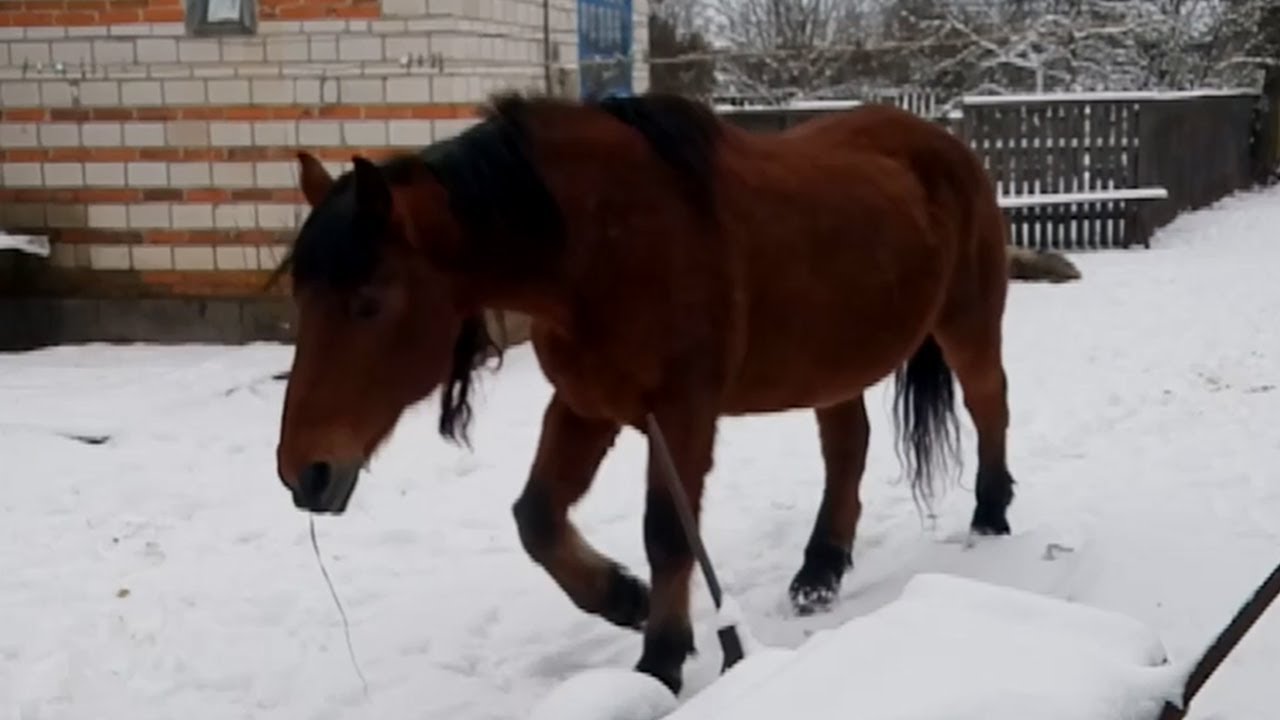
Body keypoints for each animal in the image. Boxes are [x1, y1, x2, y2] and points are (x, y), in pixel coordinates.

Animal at [272, 92, 1017, 694]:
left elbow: (667, 533)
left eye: (368, 303)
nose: (304, 473)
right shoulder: (584, 406)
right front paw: (622, 598)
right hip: (833, 360)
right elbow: (536, 517)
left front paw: (661, 657)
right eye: (301, 301)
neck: (597, 248)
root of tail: (946, 142)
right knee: (846, 448)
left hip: (967, 322)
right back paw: (820, 571)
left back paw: (990, 514)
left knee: (988, 403)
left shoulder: (683, 413)